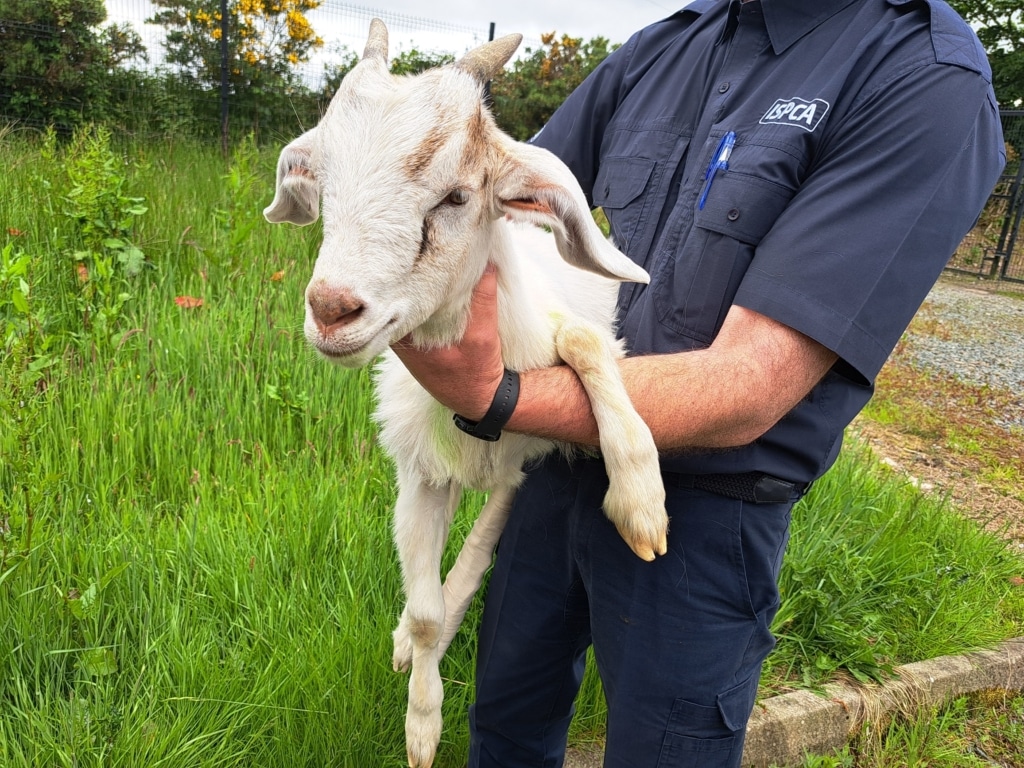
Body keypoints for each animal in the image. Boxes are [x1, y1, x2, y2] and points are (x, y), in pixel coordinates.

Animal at [264, 19, 668, 768]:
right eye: (322, 182)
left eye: (453, 197)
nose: (332, 310)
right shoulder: (422, 474)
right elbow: (426, 613)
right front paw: (422, 719)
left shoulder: (522, 463)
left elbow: (585, 347)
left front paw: (640, 502)